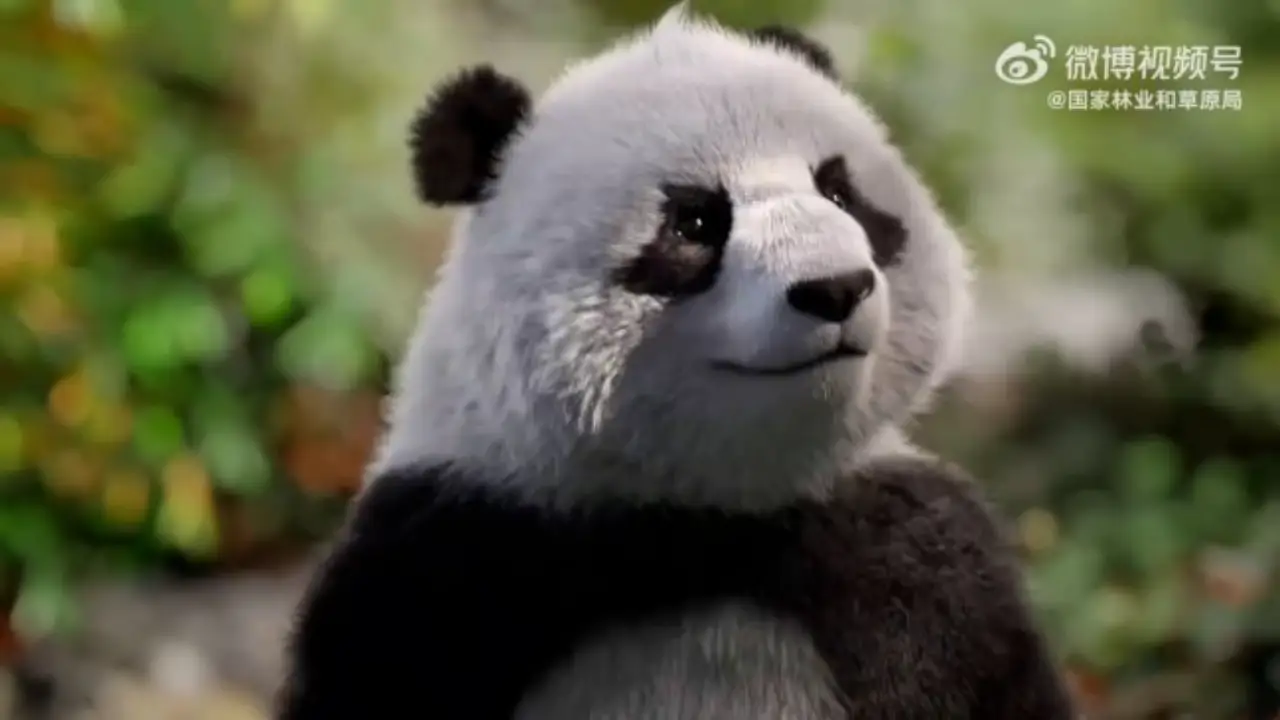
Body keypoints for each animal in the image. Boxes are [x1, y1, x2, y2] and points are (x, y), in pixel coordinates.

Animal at [277, 6, 1078, 719]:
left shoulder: (911, 560)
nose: (836, 288)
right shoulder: (450, 555)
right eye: (695, 222)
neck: (707, 522)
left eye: (839, 191)